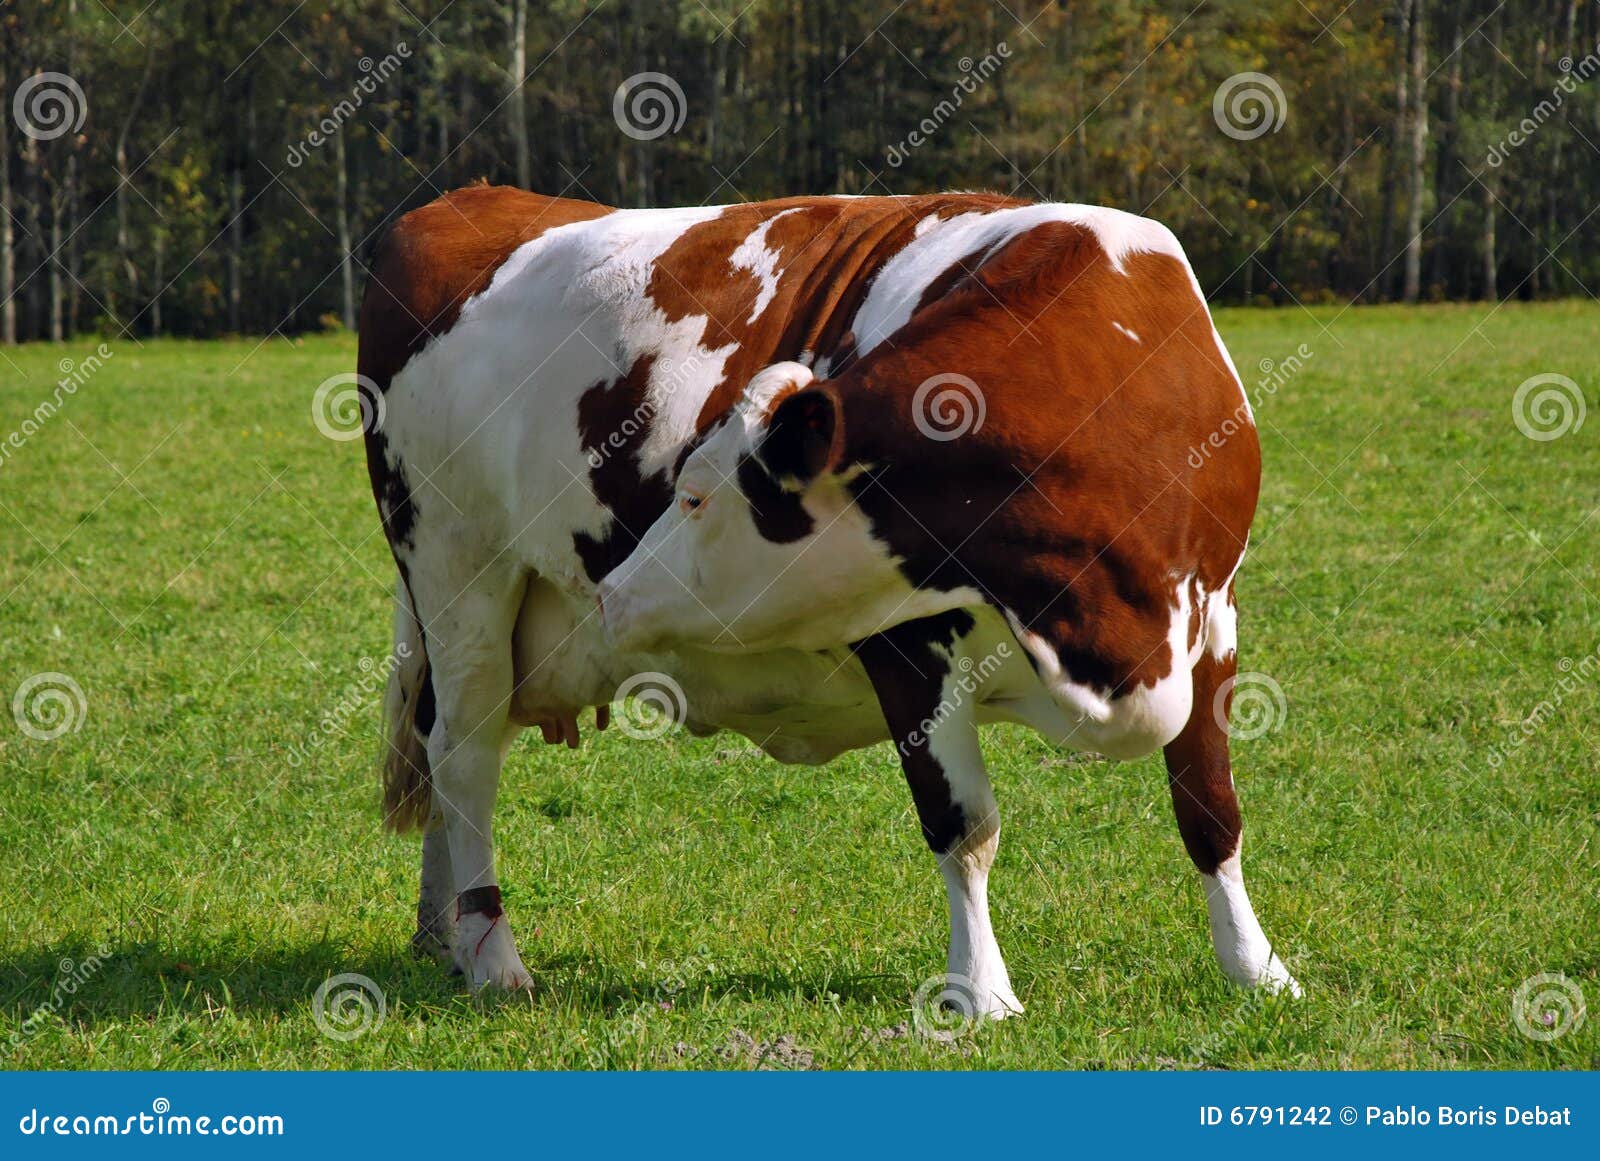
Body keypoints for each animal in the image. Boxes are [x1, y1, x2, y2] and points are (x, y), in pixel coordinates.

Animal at [356, 184, 1300, 1018]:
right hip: (459, 574)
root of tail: (472, 200)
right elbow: (965, 826)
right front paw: (982, 992)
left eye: (693, 494)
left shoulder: (1211, 617)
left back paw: (444, 934)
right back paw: (493, 956)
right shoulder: (908, 640)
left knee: (443, 755)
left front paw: (1257, 969)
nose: (615, 594)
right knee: (464, 757)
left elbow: (1210, 808)